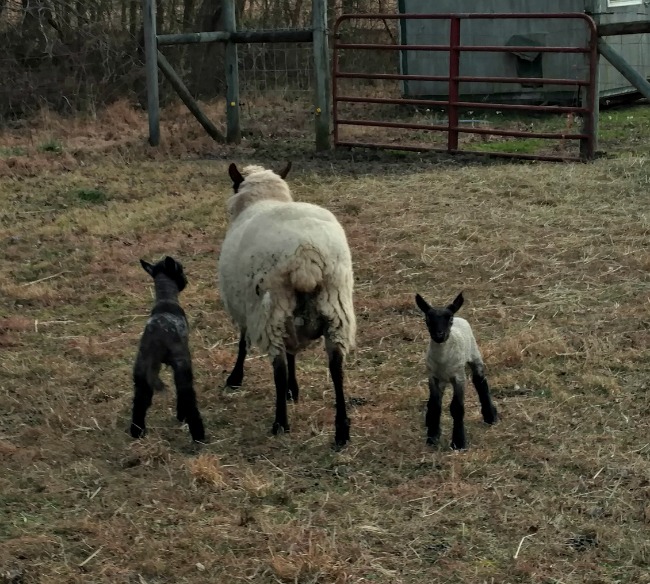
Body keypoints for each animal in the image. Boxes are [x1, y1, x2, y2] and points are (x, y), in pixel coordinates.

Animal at [130, 256, 205, 442]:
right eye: (181, 269)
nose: (186, 280)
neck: (165, 299)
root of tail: (157, 338)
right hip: (182, 367)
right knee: (188, 398)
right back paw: (198, 434)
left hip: (141, 373)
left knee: (139, 403)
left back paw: (137, 432)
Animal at [218, 161, 356, 448]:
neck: (265, 199)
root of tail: (306, 253)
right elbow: (293, 353)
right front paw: (295, 389)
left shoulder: (247, 311)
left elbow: (242, 343)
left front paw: (235, 378)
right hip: (336, 307)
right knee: (336, 367)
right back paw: (341, 431)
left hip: (272, 309)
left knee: (278, 369)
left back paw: (280, 422)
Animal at [415, 291, 497, 450]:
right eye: (428, 318)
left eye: (450, 318)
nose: (439, 335)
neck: (442, 360)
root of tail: (460, 318)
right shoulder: (433, 377)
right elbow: (435, 406)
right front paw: (432, 437)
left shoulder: (458, 378)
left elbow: (457, 408)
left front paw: (458, 442)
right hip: (441, 379)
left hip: (474, 354)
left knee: (480, 382)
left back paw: (490, 416)